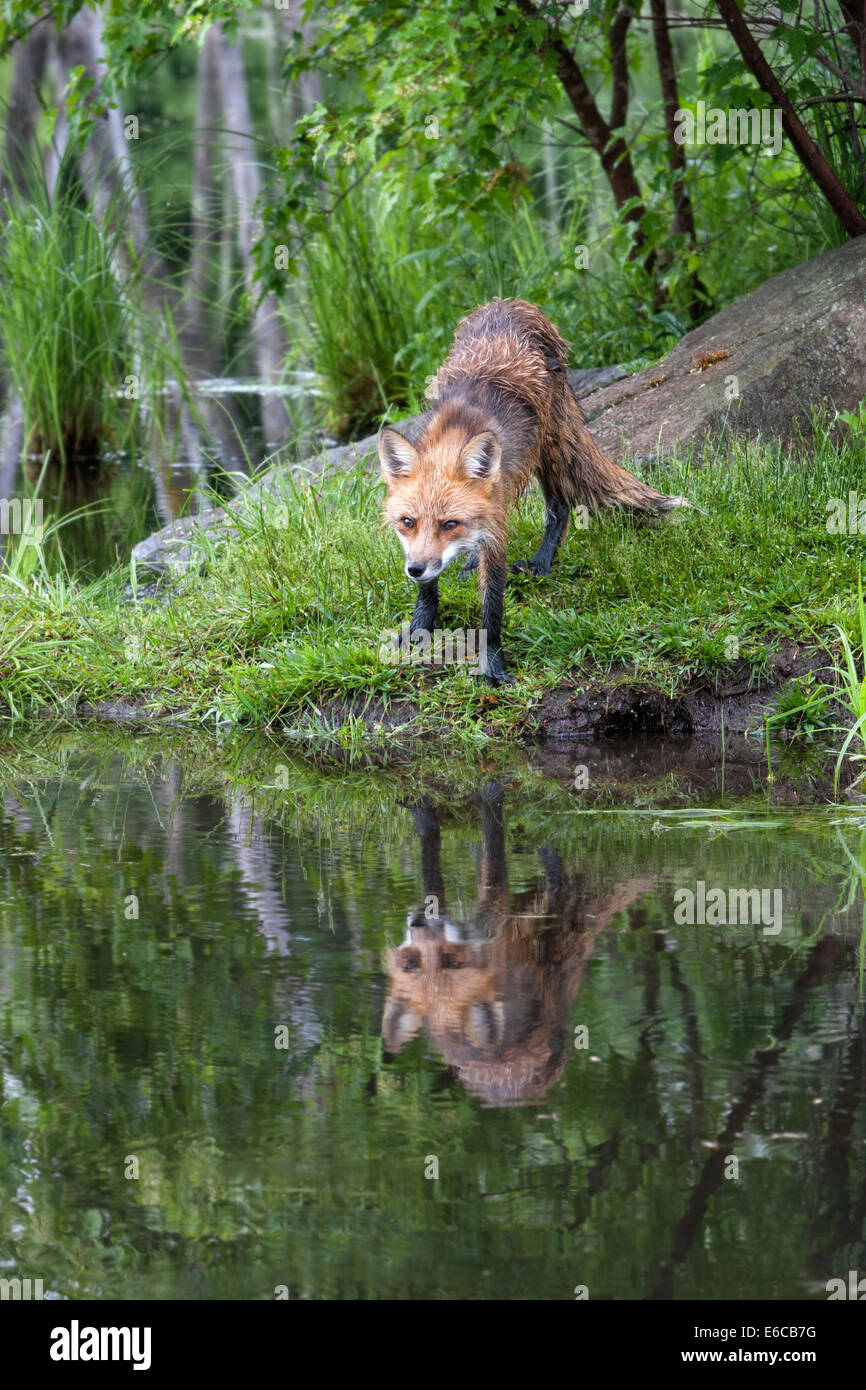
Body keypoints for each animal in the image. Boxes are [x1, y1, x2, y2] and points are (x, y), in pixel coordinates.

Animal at [378, 297, 689, 685]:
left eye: (450, 524)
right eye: (408, 522)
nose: (415, 569)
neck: (457, 431)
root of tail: (509, 302)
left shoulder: (496, 530)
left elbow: (492, 610)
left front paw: (492, 664)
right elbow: (428, 592)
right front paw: (420, 628)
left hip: (547, 446)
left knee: (560, 507)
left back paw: (541, 563)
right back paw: (469, 563)